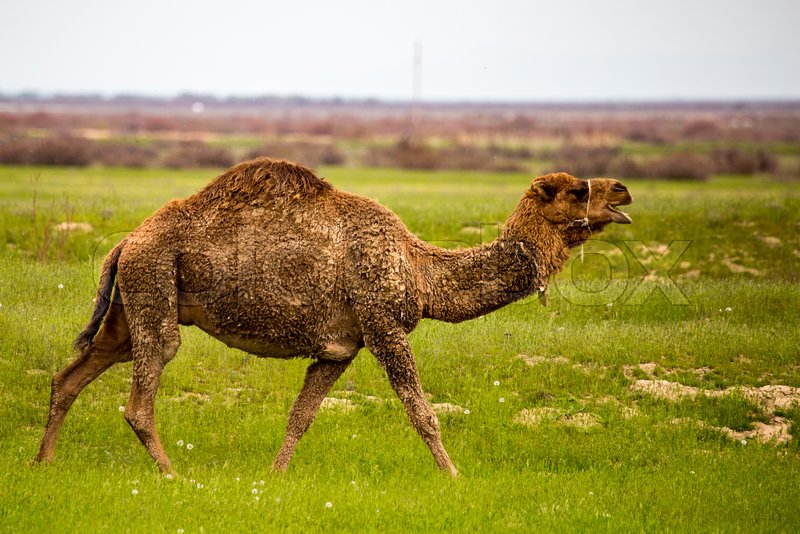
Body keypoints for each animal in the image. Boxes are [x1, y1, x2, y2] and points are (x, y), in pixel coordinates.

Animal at [35, 157, 633, 477]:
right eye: (576, 189)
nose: (623, 190)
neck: (419, 269)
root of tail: (125, 242)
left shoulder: (341, 348)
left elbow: (300, 416)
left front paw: (273, 478)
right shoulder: (385, 327)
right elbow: (423, 413)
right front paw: (455, 476)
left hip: (129, 306)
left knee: (72, 374)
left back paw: (43, 462)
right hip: (153, 289)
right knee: (140, 395)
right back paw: (172, 475)